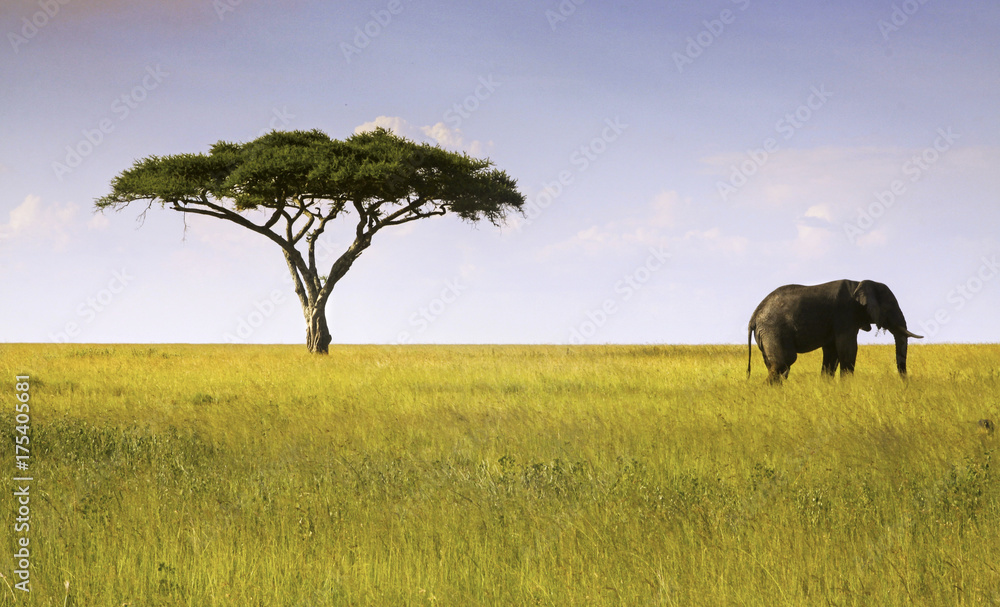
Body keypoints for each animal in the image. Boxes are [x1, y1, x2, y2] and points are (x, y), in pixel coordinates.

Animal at [747, 279, 922, 382]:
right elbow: (848, 349)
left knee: (775, 365)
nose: (905, 382)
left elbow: (832, 353)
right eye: (889, 308)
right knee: (784, 361)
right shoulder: (845, 313)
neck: (860, 283)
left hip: (766, 333)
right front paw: (847, 386)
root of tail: (753, 317)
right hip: (773, 330)